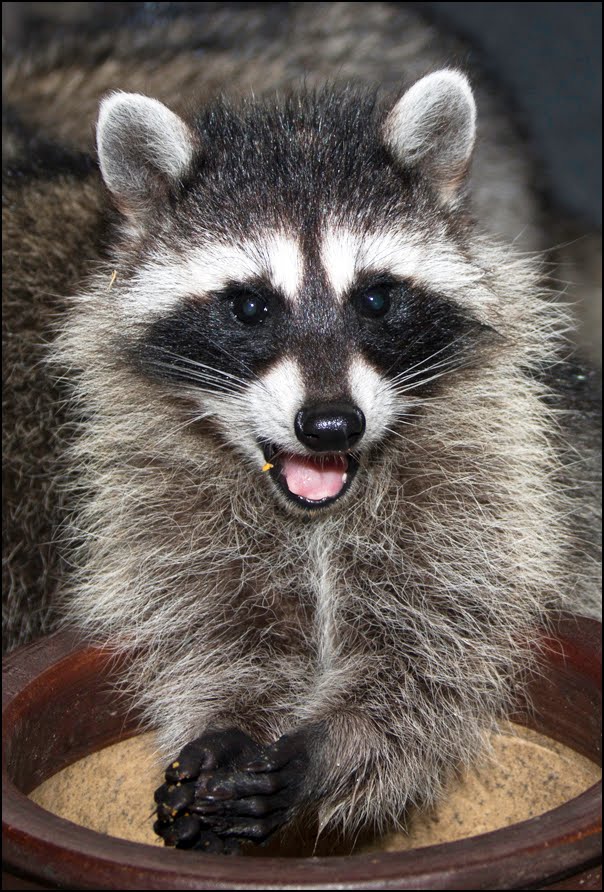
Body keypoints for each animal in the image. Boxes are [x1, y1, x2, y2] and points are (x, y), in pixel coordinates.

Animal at [3, 2, 601, 852]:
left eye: (376, 298)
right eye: (250, 306)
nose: (329, 425)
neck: (315, 512)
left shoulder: (489, 480)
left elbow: (437, 646)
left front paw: (335, 744)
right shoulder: (159, 497)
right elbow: (215, 625)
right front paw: (227, 720)